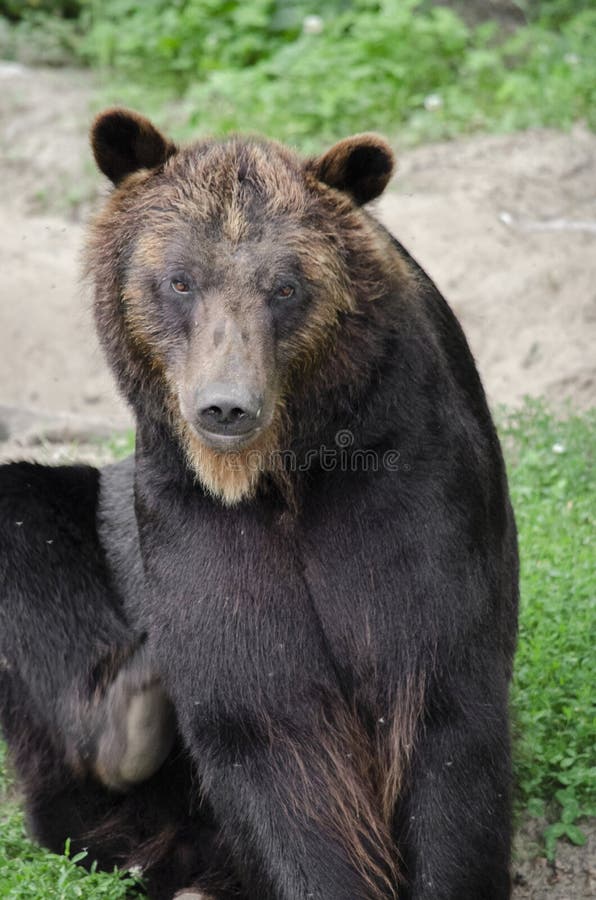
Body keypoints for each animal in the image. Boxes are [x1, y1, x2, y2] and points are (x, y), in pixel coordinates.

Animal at [0, 108, 519, 900]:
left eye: (285, 287)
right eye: (179, 280)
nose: (226, 406)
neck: (284, 472)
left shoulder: (409, 489)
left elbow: (441, 712)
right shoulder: (194, 520)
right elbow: (269, 726)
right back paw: (132, 716)